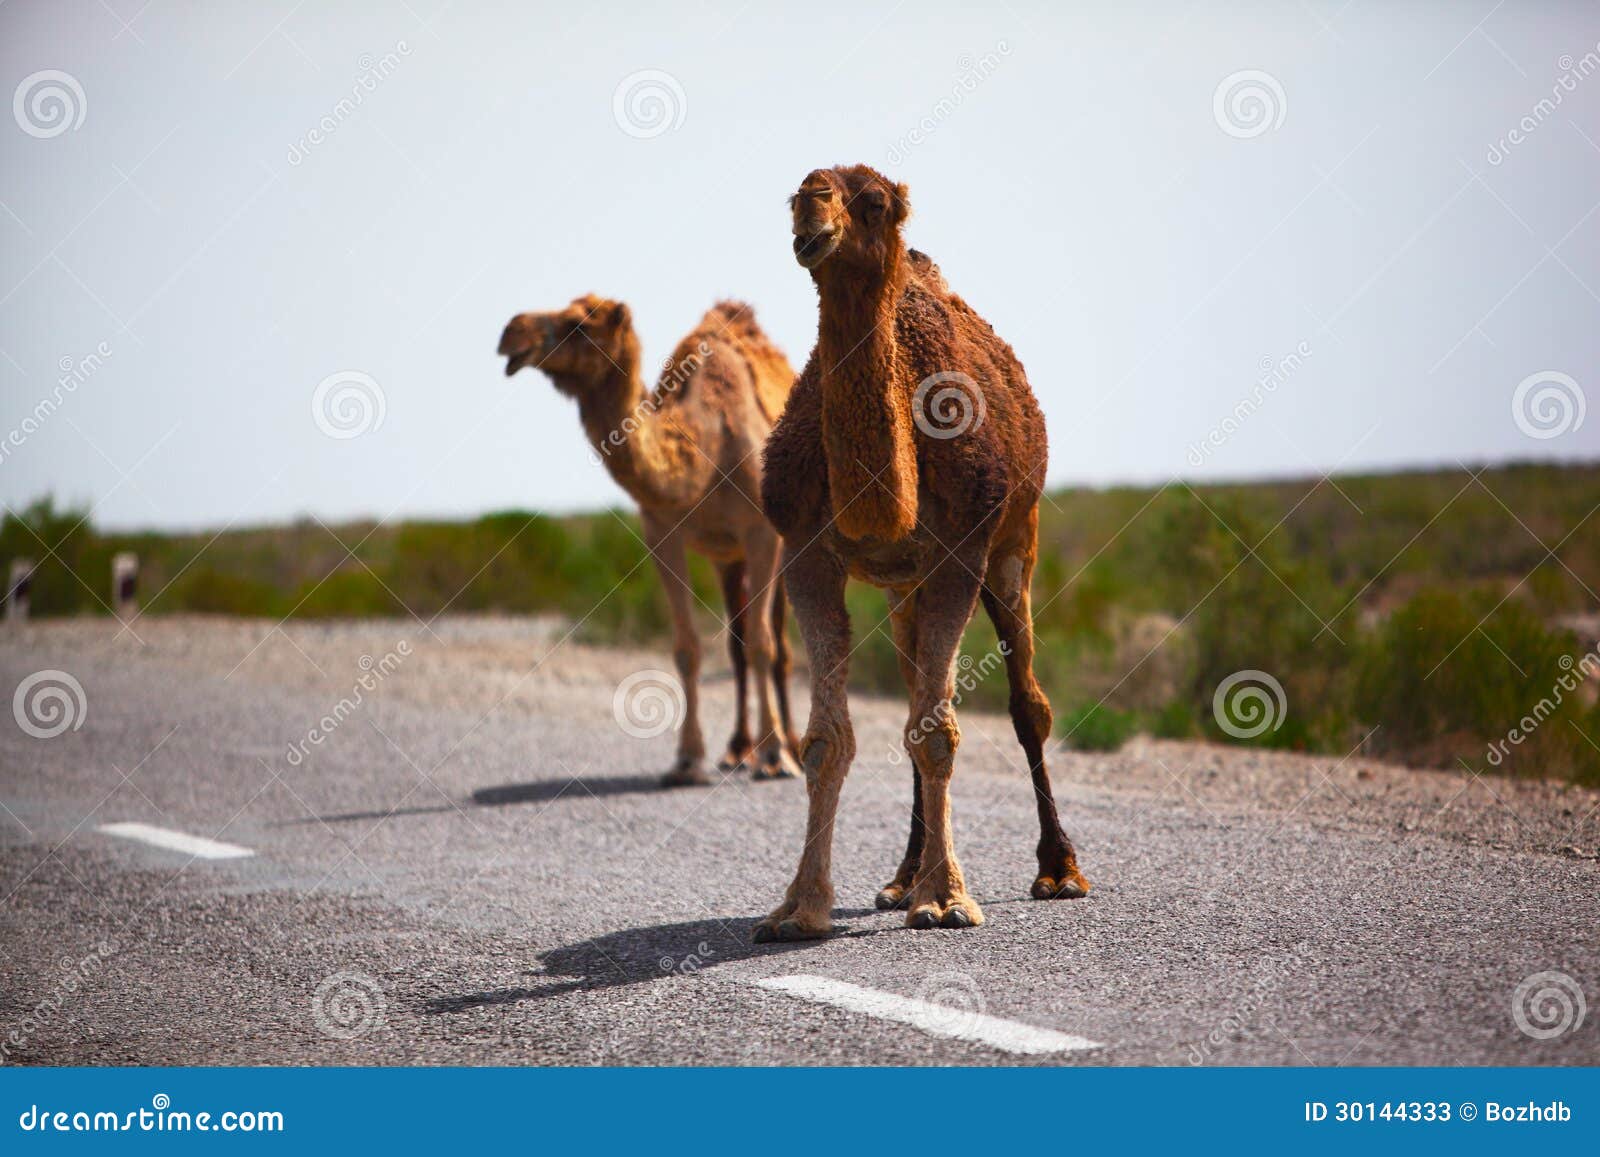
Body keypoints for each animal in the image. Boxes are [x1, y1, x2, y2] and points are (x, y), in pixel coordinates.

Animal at [499, 294, 802, 785]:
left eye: (579, 325)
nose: (511, 332)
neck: (707, 446)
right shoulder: (662, 534)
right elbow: (688, 648)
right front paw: (687, 761)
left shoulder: (761, 532)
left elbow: (763, 645)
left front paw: (776, 757)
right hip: (727, 558)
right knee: (736, 640)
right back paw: (738, 749)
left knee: (778, 643)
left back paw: (789, 746)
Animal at [755, 164, 1090, 940]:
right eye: (794, 197)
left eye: (873, 202)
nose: (813, 206)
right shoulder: (804, 552)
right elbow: (827, 740)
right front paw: (799, 907)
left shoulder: (962, 551)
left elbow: (939, 734)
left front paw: (947, 900)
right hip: (901, 584)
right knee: (913, 690)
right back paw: (902, 877)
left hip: (1015, 543)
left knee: (1027, 704)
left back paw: (1059, 870)